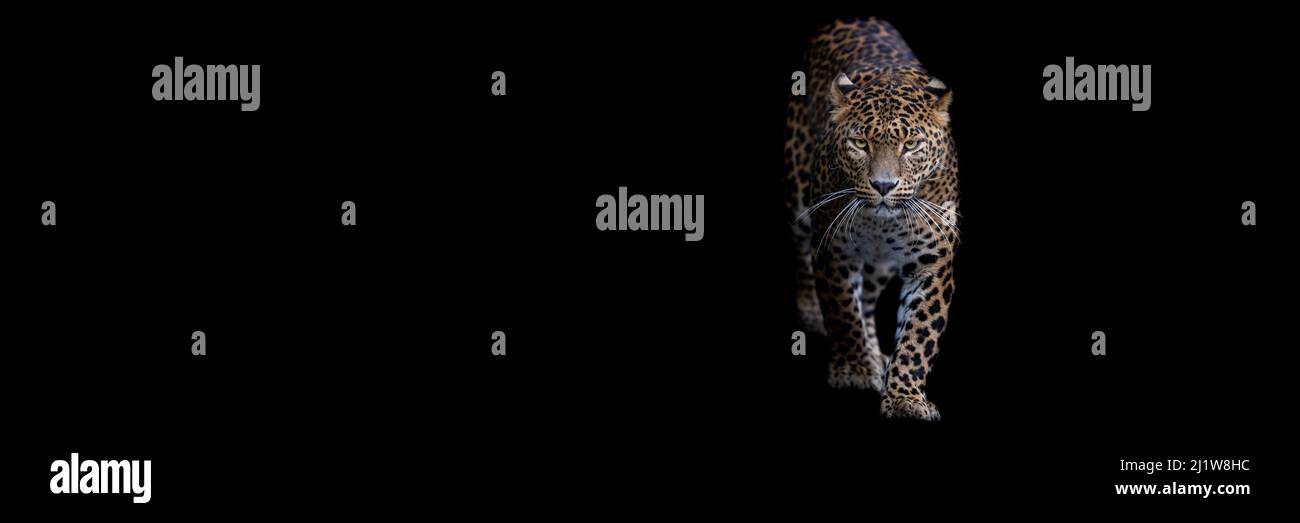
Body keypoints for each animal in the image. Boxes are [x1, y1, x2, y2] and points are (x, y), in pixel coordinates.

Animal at [784, 17, 959, 421]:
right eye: (860, 144)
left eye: (910, 145)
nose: (882, 185)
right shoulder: (833, 248)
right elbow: (842, 310)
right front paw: (853, 371)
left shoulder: (932, 263)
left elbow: (918, 334)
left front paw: (906, 398)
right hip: (797, 189)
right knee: (801, 253)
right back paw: (814, 316)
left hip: (880, 264)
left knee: (866, 300)